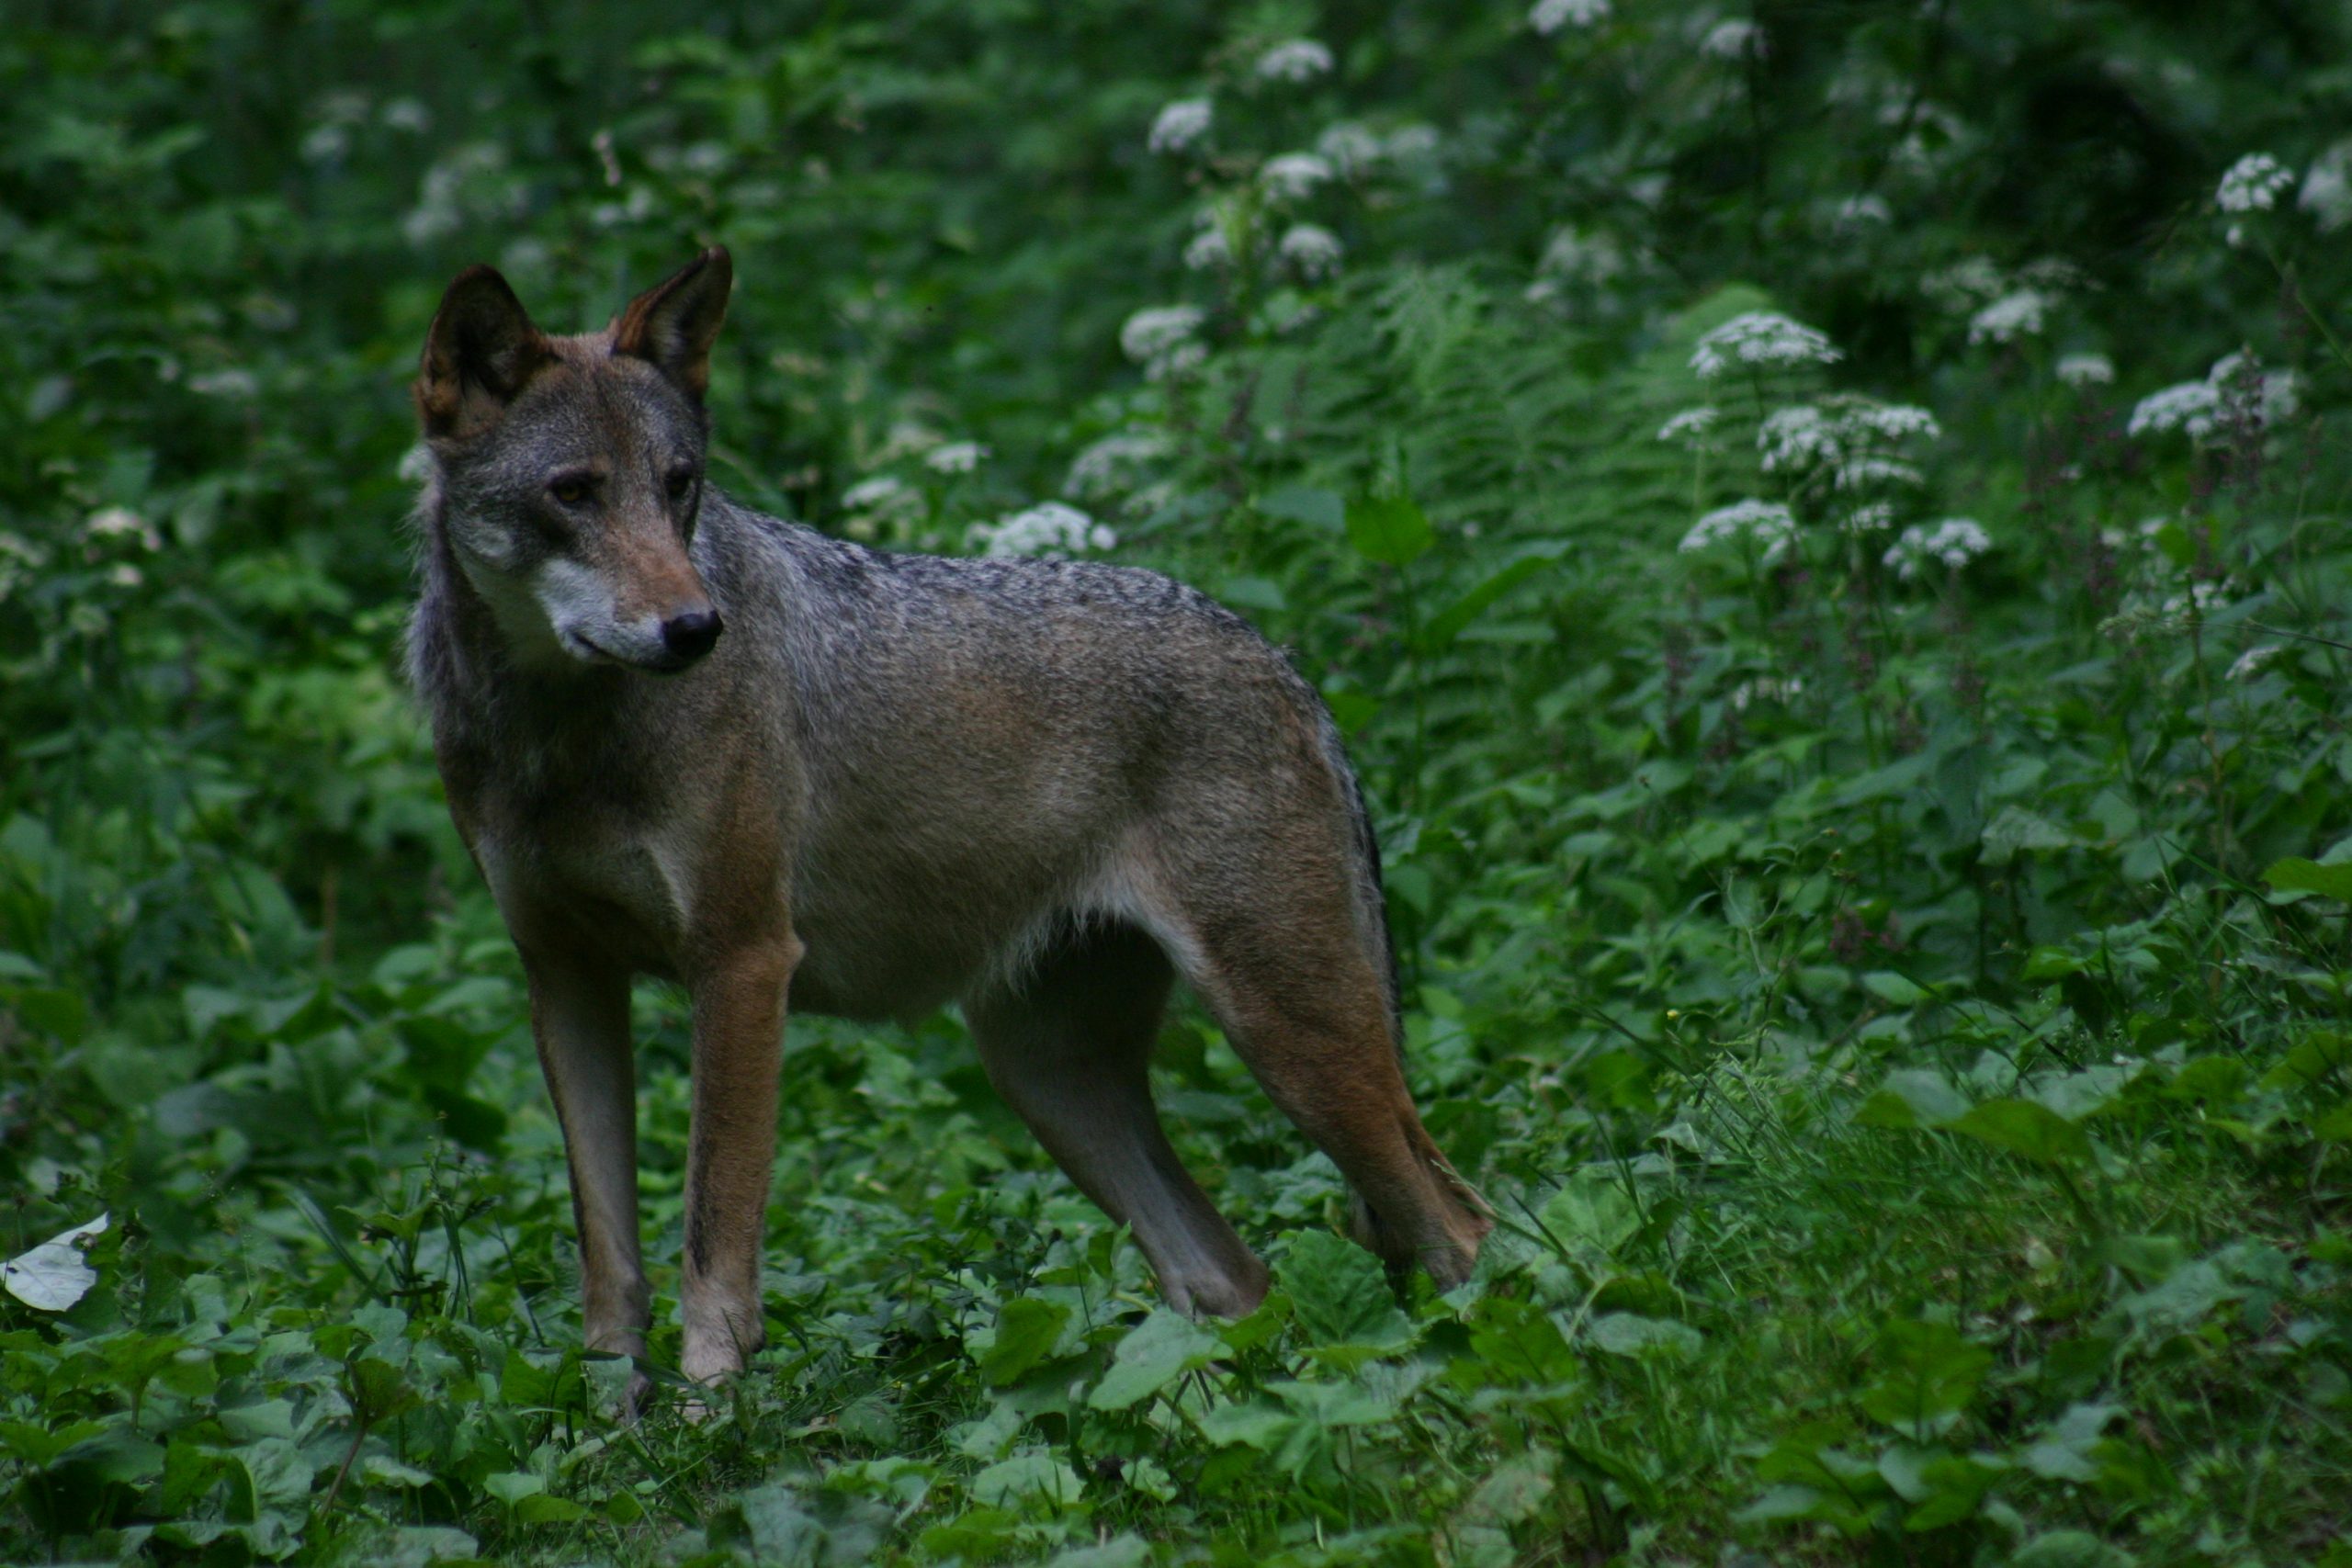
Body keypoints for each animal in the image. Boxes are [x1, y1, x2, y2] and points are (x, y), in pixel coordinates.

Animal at [406, 247, 1490, 1399]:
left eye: (679, 485)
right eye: (573, 493)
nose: (697, 629)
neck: (554, 736)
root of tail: (1287, 665)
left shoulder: (743, 964)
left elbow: (714, 1243)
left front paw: (712, 1418)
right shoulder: (565, 981)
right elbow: (610, 1267)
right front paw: (610, 1426)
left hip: (1285, 1040)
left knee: (1459, 1231)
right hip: (1048, 1078)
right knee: (1232, 1278)